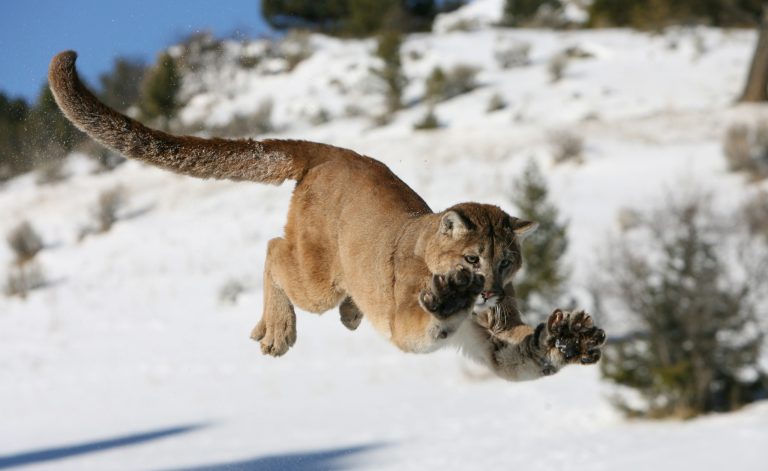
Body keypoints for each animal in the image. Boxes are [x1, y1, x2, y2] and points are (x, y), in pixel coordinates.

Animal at [48, 51, 605, 381]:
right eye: (473, 260)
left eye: (507, 263)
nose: (489, 292)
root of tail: (333, 151)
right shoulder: (407, 324)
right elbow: (431, 320)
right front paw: (450, 297)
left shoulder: (493, 342)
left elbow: (521, 351)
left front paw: (566, 338)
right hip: (317, 276)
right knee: (274, 249)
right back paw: (278, 329)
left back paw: (342, 314)